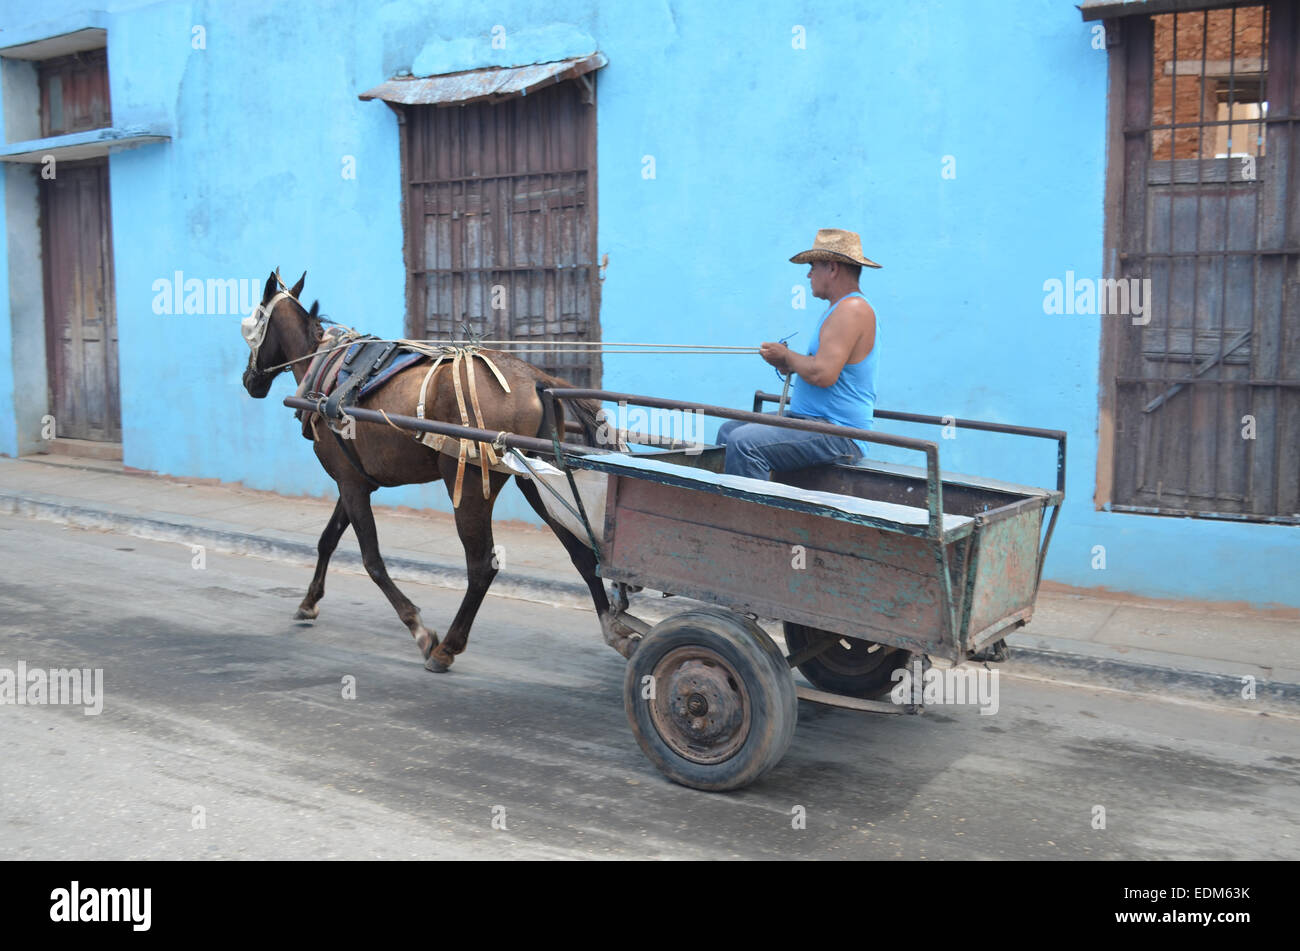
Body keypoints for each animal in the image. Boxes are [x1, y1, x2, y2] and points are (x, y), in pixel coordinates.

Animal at [240, 269, 636, 671]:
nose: (249, 380)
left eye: (254, 323)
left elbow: (372, 560)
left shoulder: (350, 484)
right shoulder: (354, 481)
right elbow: (327, 540)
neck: (327, 369)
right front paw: (308, 602)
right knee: (581, 554)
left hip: (472, 485)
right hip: (537, 479)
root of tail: (537, 380)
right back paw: (615, 631)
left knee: (482, 566)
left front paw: (418, 629)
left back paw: (447, 646)